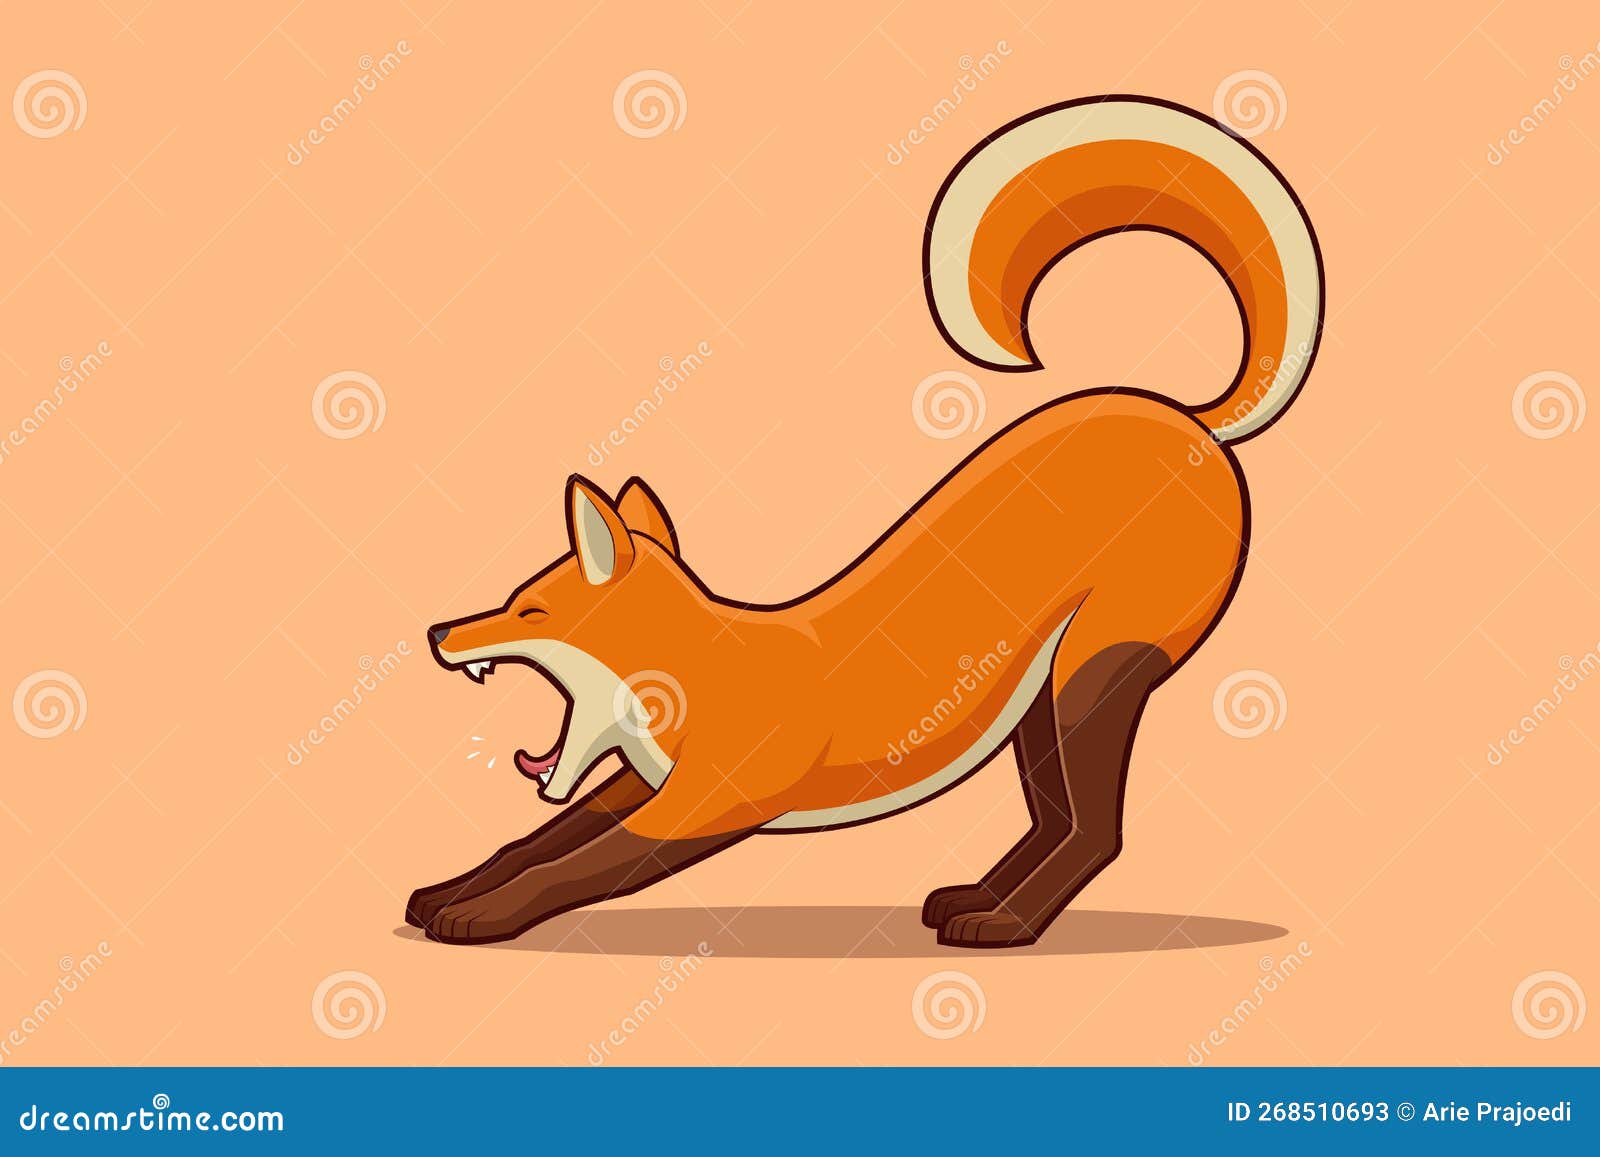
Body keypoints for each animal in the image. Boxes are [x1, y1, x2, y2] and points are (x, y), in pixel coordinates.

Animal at [407, 95, 1323, 947]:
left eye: (527, 606)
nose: (437, 634)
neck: (689, 674)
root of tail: (1185, 417)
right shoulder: (646, 779)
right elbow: (529, 842)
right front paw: (448, 888)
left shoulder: (705, 804)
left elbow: (569, 868)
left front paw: (481, 915)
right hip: (1037, 702)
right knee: (1058, 822)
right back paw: (978, 898)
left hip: (1090, 680)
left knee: (1097, 834)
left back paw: (1007, 923)